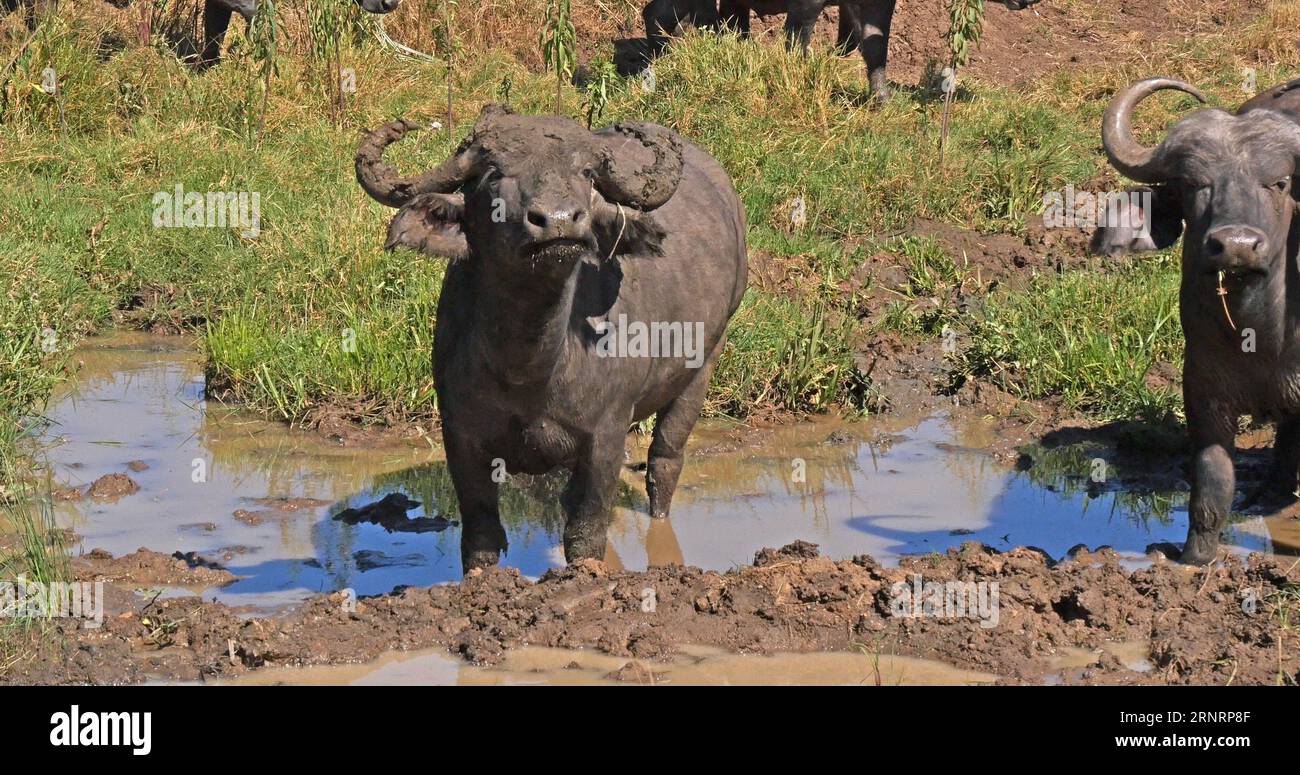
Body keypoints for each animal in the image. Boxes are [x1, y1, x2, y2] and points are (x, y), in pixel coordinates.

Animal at [355, 106, 748, 570]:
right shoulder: (461, 436)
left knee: (665, 461)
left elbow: (586, 531)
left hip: (704, 363)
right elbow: (481, 534)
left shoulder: (606, 435)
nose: (559, 222)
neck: (529, 367)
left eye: (586, 173)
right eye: (493, 173)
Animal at [1093, 77, 1300, 563]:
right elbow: (1211, 482)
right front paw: (1194, 560)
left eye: (1280, 183)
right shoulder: (1203, 389)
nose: (1237, 245)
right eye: (1194, 184)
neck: (1259, 334)